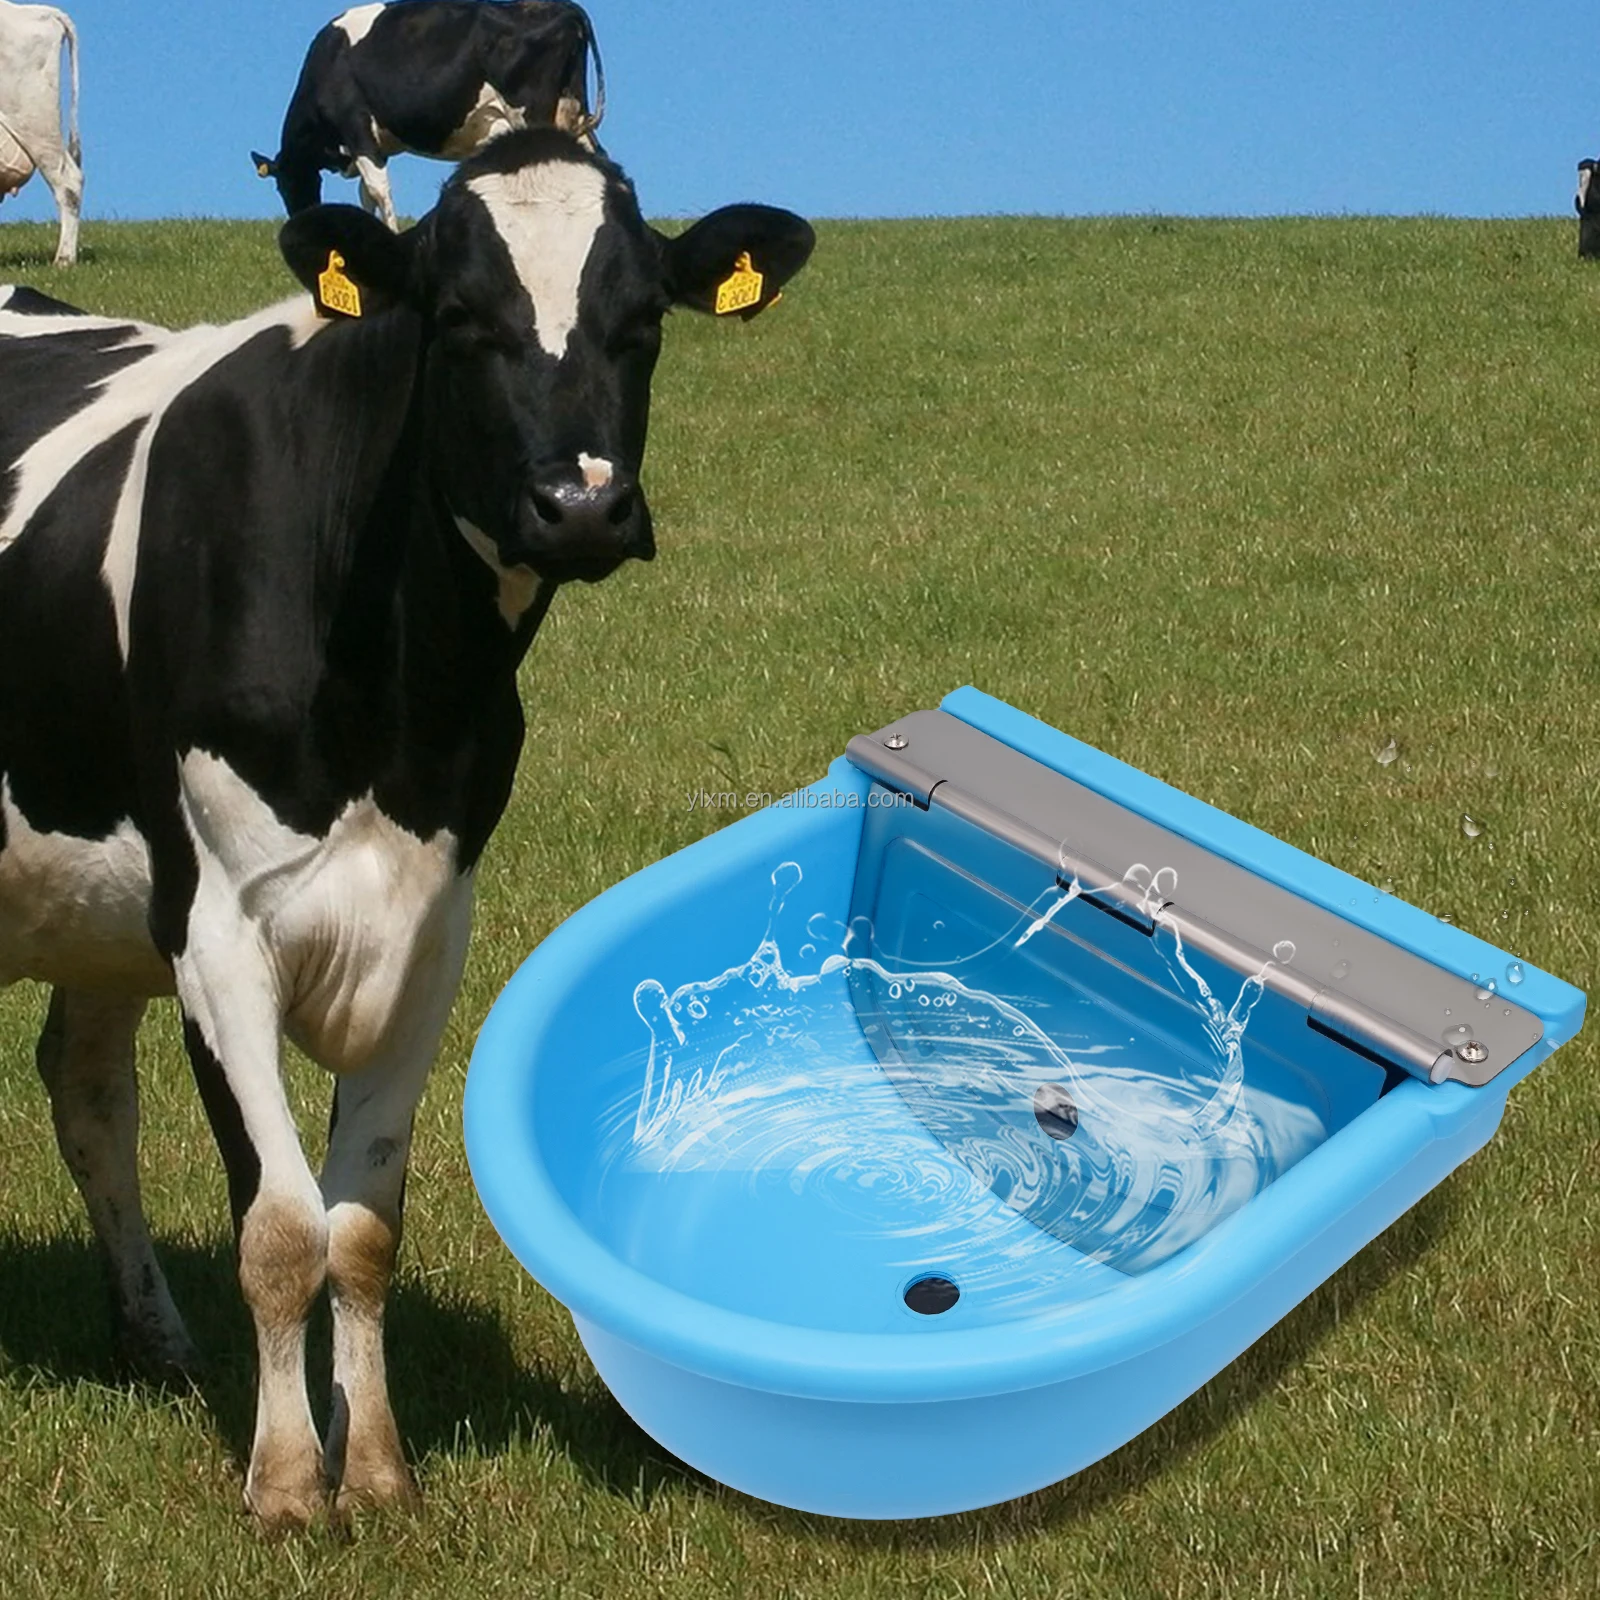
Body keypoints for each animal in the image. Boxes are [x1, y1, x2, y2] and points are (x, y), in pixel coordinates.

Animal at [0, 125, 813, 1528]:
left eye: (644, 320)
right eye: (457, 318)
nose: (581, 505)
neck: (399, 695)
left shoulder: (430, 928)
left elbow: (363, 1225)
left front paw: (374, 1466)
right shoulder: (217, 925)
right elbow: (280, 1226)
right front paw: (285, 1482)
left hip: (95, 897)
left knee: (88, 1089)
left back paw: (155, 1341)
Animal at [251, 0, 603, 231]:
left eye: (283, 185)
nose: (299, 217)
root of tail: (566, 9)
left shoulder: (355, 127)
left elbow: (377, 189)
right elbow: (366, 195)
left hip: (531, 111)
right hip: (571, 112)